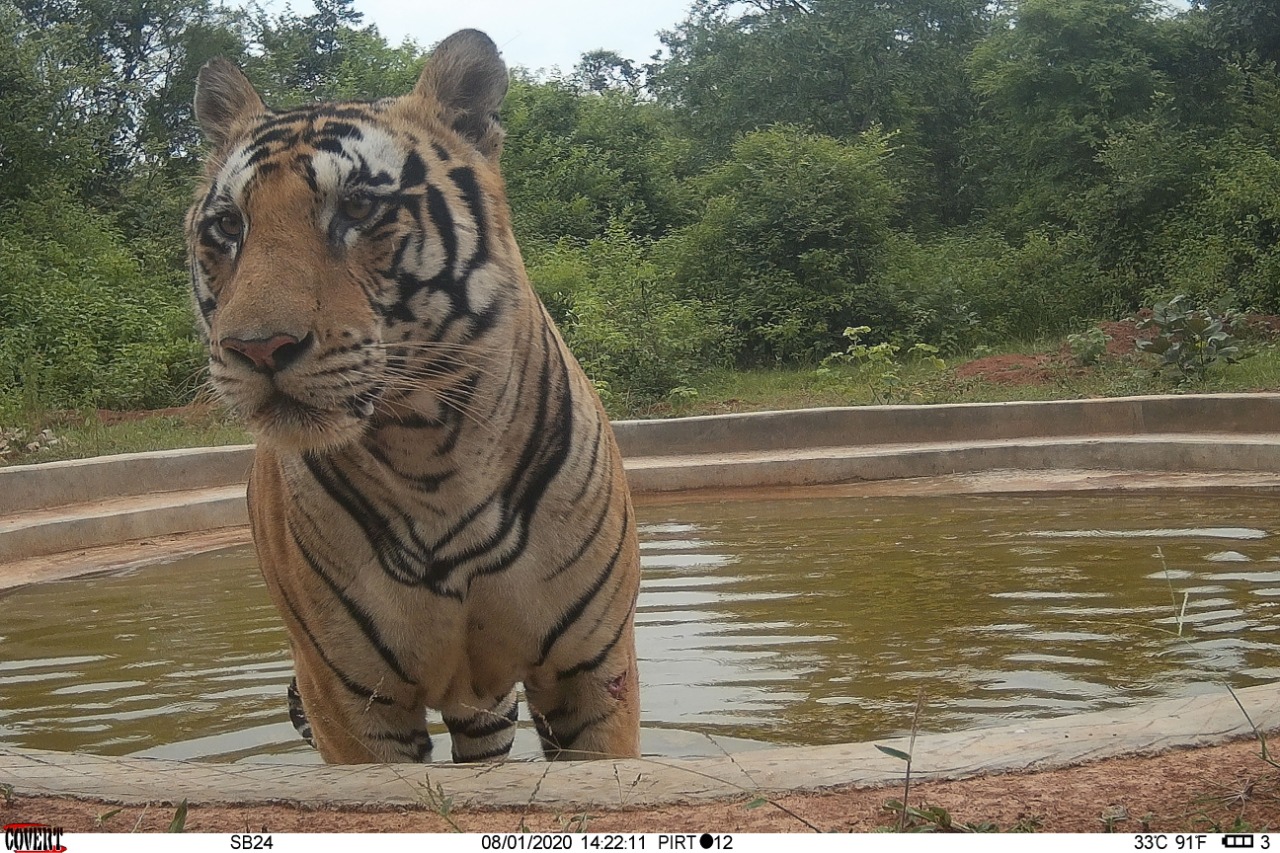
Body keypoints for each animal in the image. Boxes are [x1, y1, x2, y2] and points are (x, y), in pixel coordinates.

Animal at [185, 29, 641, 763]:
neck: (431, 450)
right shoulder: (349, 698)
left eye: (356, 208)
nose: (257, 348)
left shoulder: (592, 669)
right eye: (228, 225)